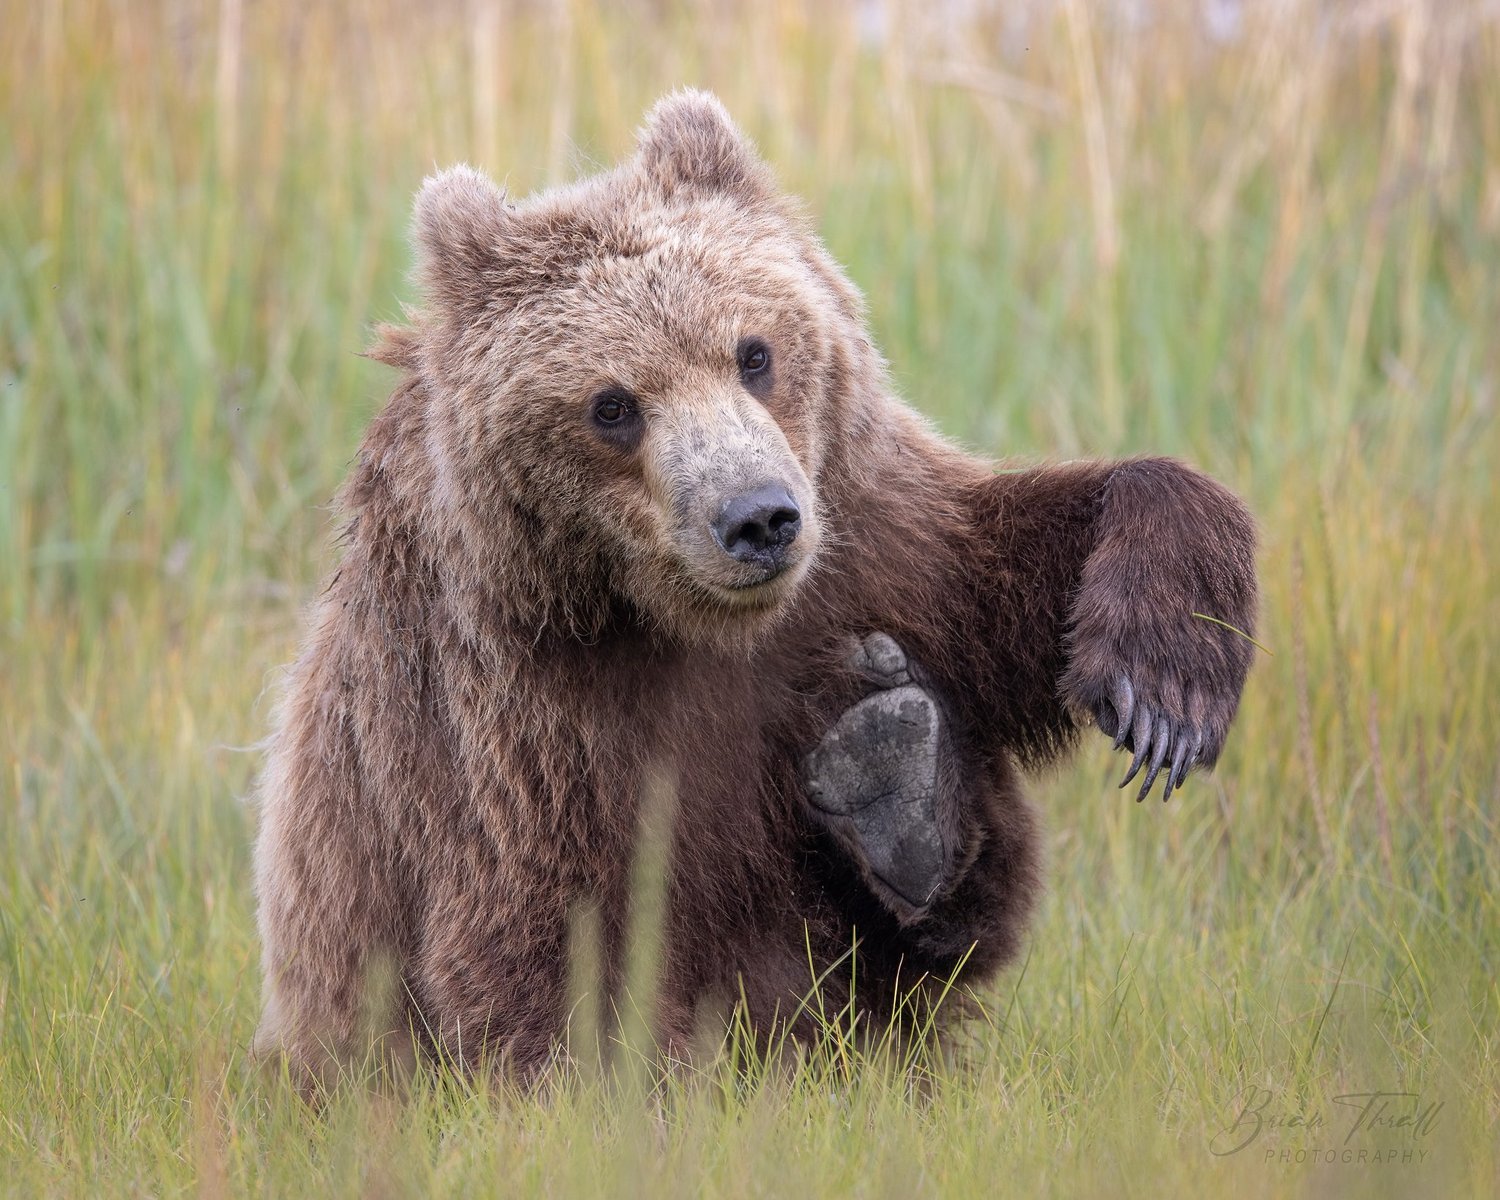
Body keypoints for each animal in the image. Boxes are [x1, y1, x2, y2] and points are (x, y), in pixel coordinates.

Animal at [251, 89, 1257, 1089]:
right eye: (612, 404)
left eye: (753, 351)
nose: (759, 517)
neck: (694, 624)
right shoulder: (518, 725)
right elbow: (546, 954)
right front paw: (627, 1088)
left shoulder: (880, 549)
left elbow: (1021, 568)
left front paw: (1165, 692)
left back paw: (900, 786)